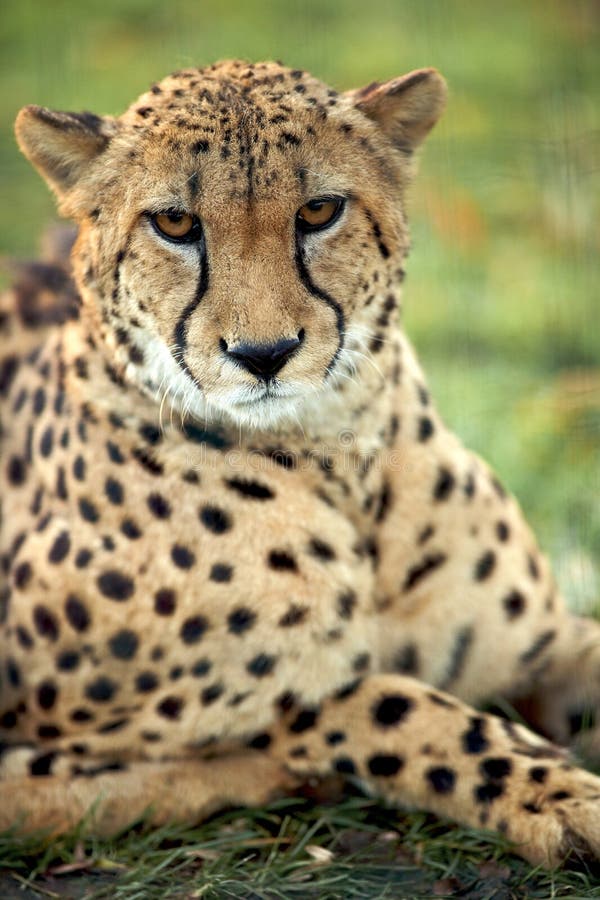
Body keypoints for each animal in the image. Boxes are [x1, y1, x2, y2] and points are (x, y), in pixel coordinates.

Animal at [1, 59, 600, 870]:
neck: (337, 454)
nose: (264, 354)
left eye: (319, 210)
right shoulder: (176, 710)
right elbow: (405, 709)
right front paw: (568, 797)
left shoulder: (537, 643)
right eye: (175, 224)